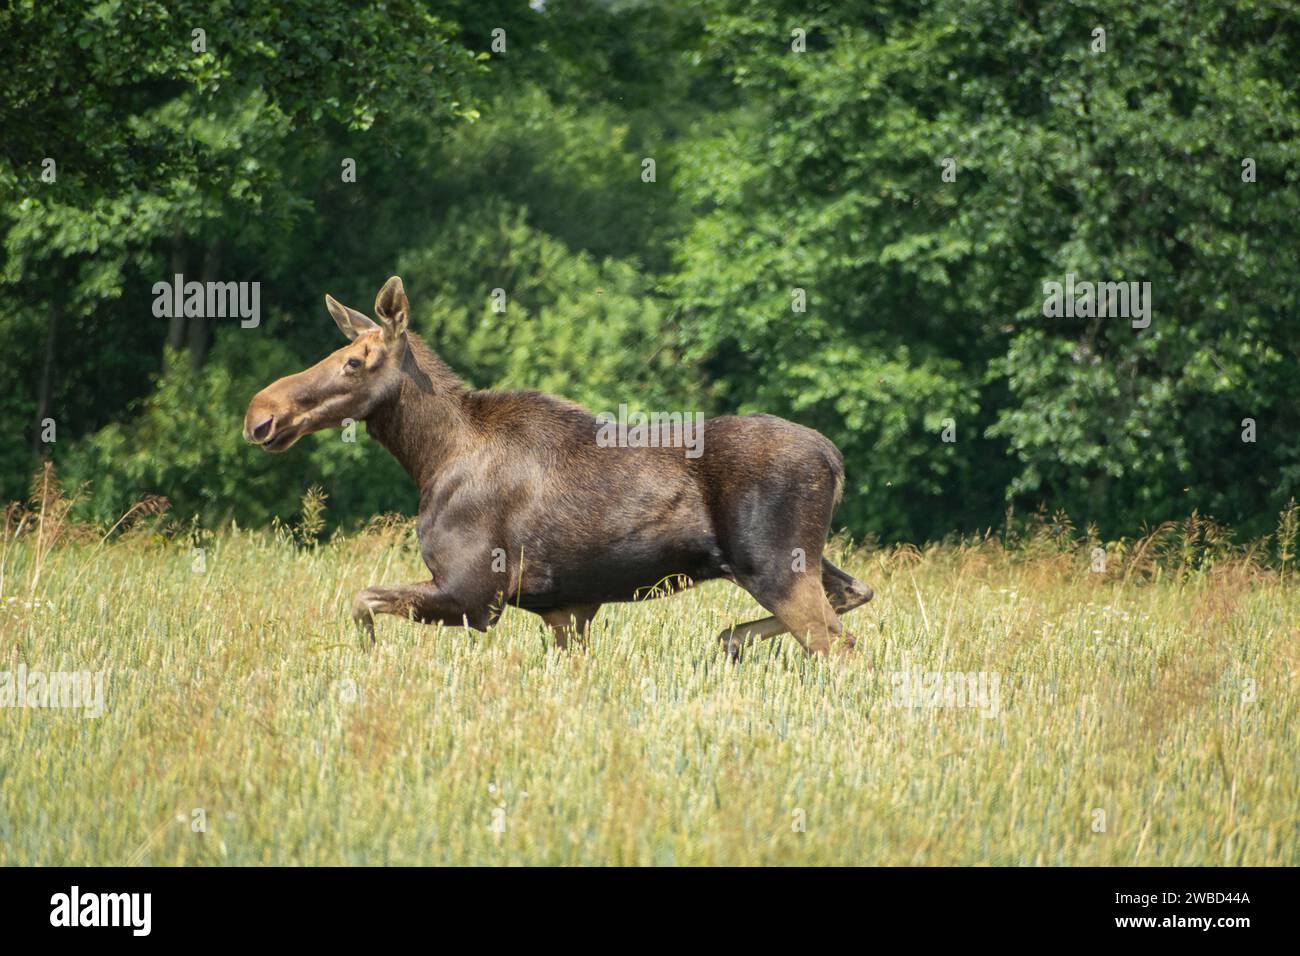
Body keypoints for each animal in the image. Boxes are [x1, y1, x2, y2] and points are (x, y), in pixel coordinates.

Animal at [243, 277, 873, 657]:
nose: (260, 415)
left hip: (775, 565)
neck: (429, 458)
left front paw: (370, 658)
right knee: (856, 593)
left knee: (845, 648)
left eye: (354, 361)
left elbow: (361, 601)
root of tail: (835, 458)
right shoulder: (564, 612)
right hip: (798, 561)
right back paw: (732, 640)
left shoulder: (476, 594)